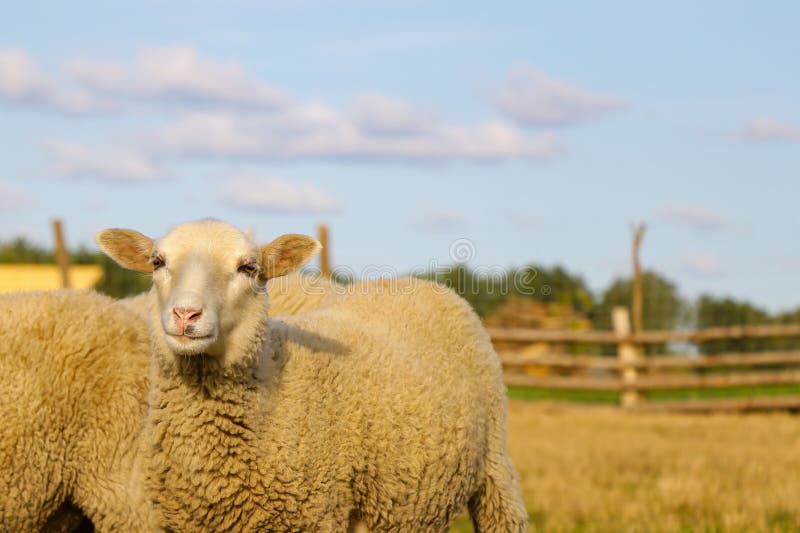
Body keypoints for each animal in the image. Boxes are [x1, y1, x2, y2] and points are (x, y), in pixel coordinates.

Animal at [98, 219, 527, 533]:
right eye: (157, 262)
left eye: (248, 267)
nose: (186, 315)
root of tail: (419, 282)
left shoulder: (318, 513)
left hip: (496, 466)